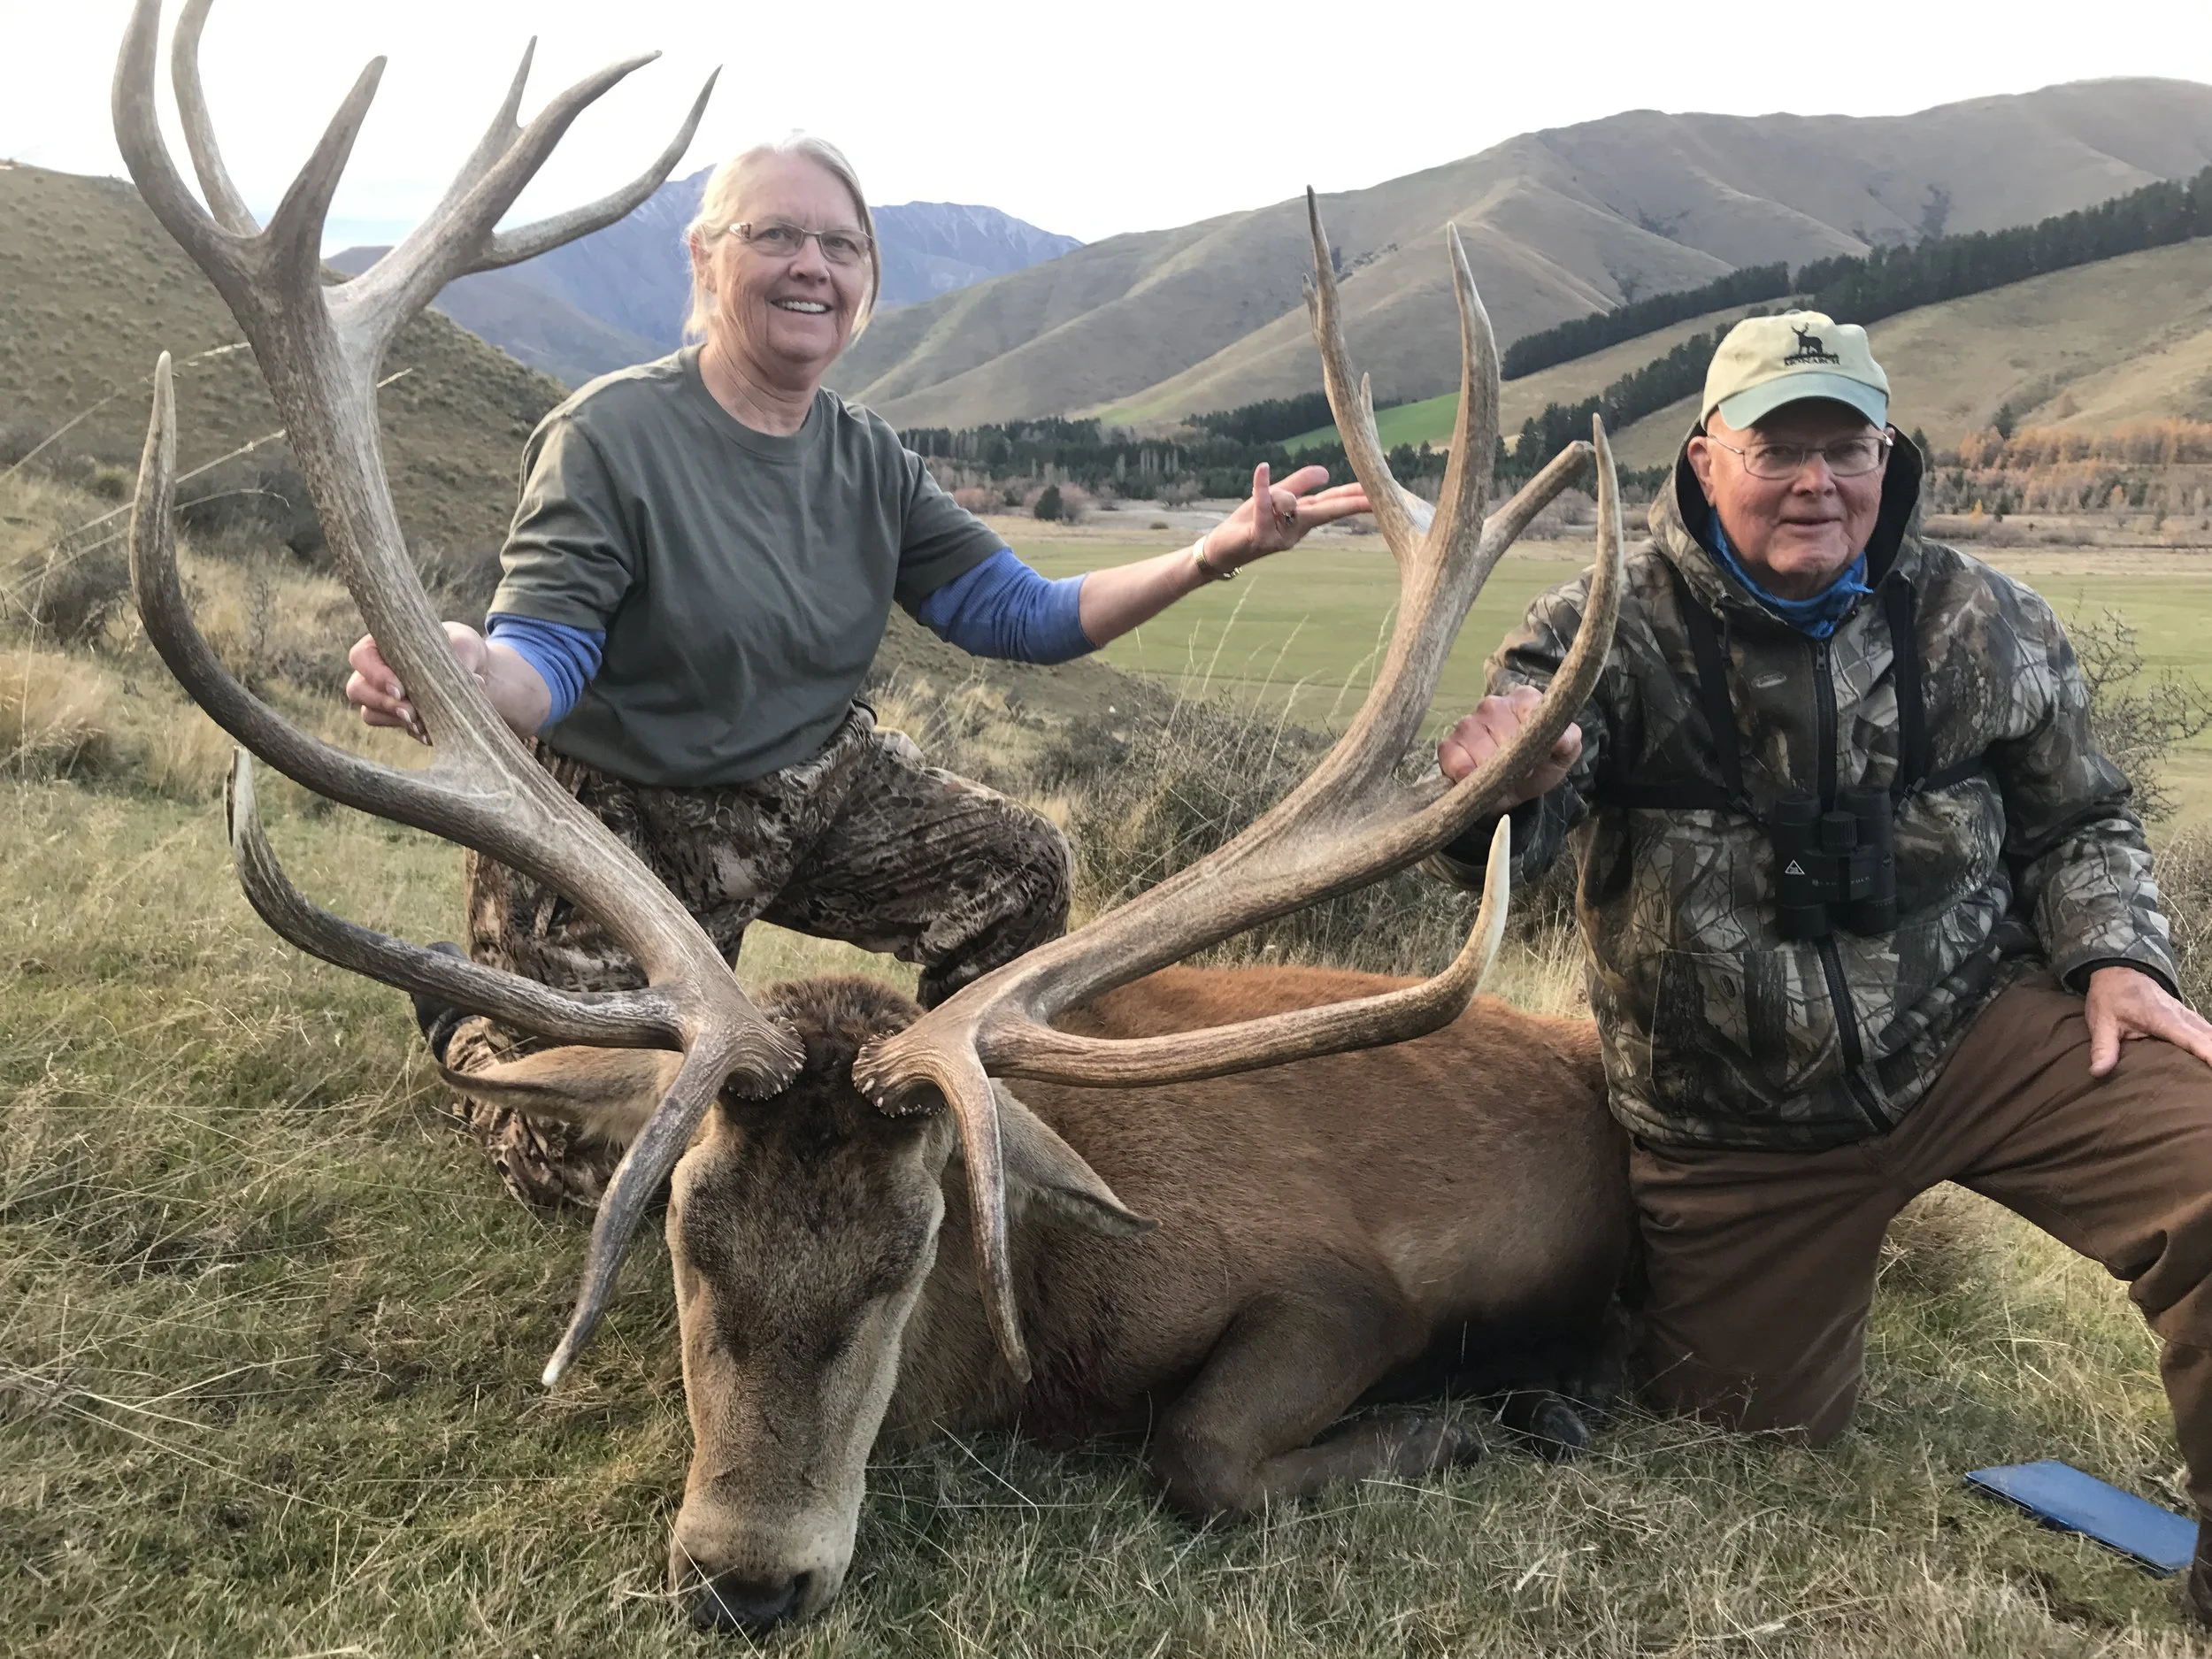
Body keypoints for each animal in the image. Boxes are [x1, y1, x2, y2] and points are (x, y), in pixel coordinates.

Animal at [113, 0, 1628, 1635]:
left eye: (907, 1259)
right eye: (682, 1236)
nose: (743, 1579)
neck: (1040, 1332)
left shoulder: (1339, 1280)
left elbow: (1204, 1450)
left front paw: (1450, 1424)